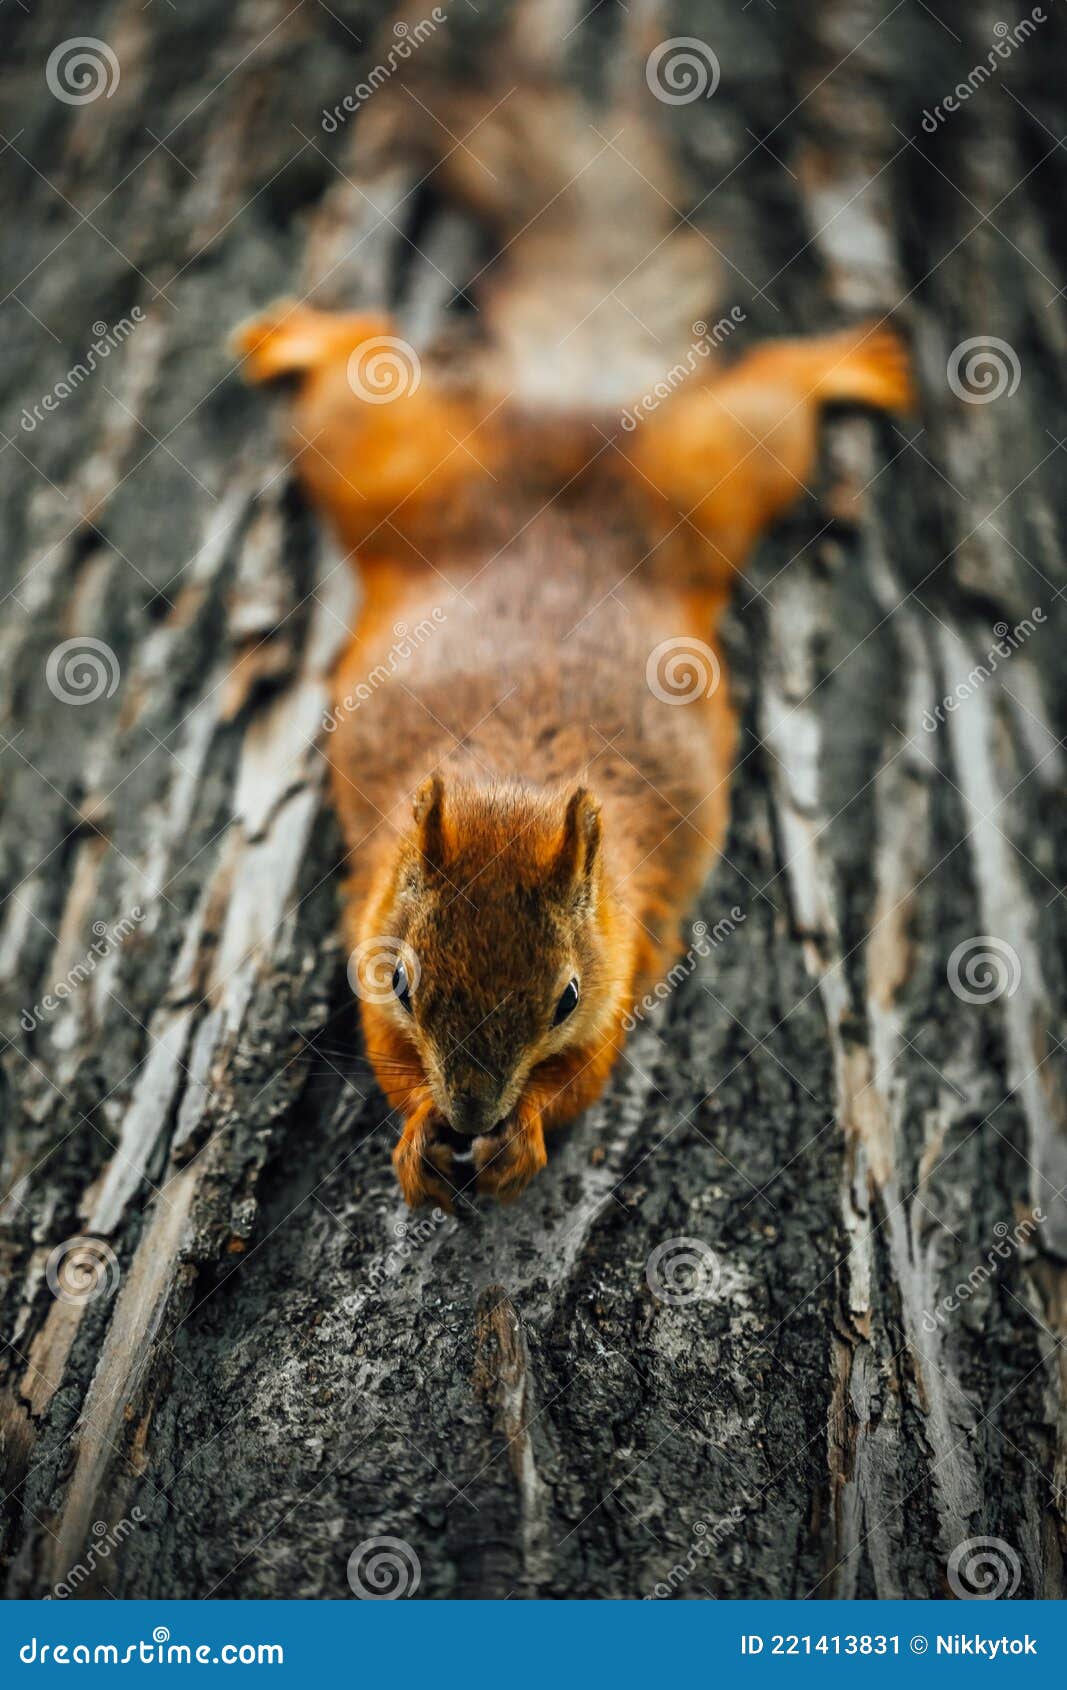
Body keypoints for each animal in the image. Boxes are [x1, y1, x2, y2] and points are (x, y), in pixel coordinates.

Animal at [231, 28, 914, 1210]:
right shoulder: (368, 914)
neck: (512, 777)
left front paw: (519, 1137)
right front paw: (418, 1131)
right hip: (390, 464)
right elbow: (383, 1049)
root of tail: (568, 424)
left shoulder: (626, 941)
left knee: (770, 399)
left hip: (715, 475)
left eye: (558, 996)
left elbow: (586, 1072)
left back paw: (847, 360)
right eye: (404, 975)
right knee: (350, 379)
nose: (471, 1114)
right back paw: (300, 333)